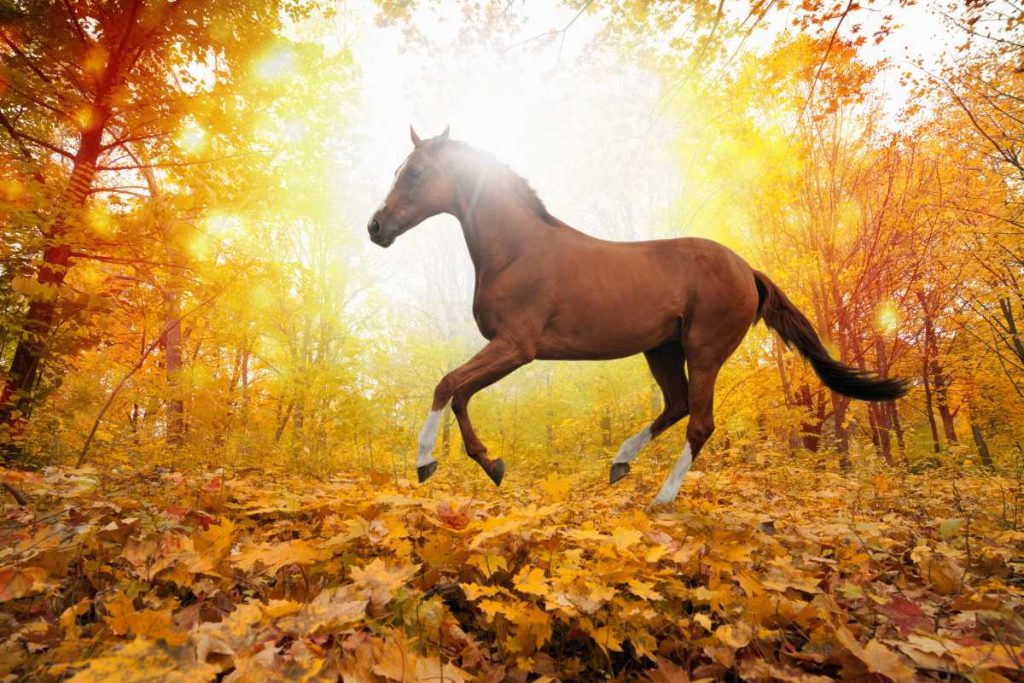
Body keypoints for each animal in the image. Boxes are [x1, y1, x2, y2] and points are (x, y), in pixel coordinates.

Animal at [367, 126, 907, 505]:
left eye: (414, 172)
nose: (375, 227)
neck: (517, 251)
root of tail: (747, 270)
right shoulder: (507, 350)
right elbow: (460, 393)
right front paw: (491, 464)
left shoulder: (516, 347)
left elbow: (447, 385)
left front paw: (425, 462)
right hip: (661, 350)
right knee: (677, 405)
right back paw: (620, 463)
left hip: (703, 351)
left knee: (699, 423)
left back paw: (661, 498)